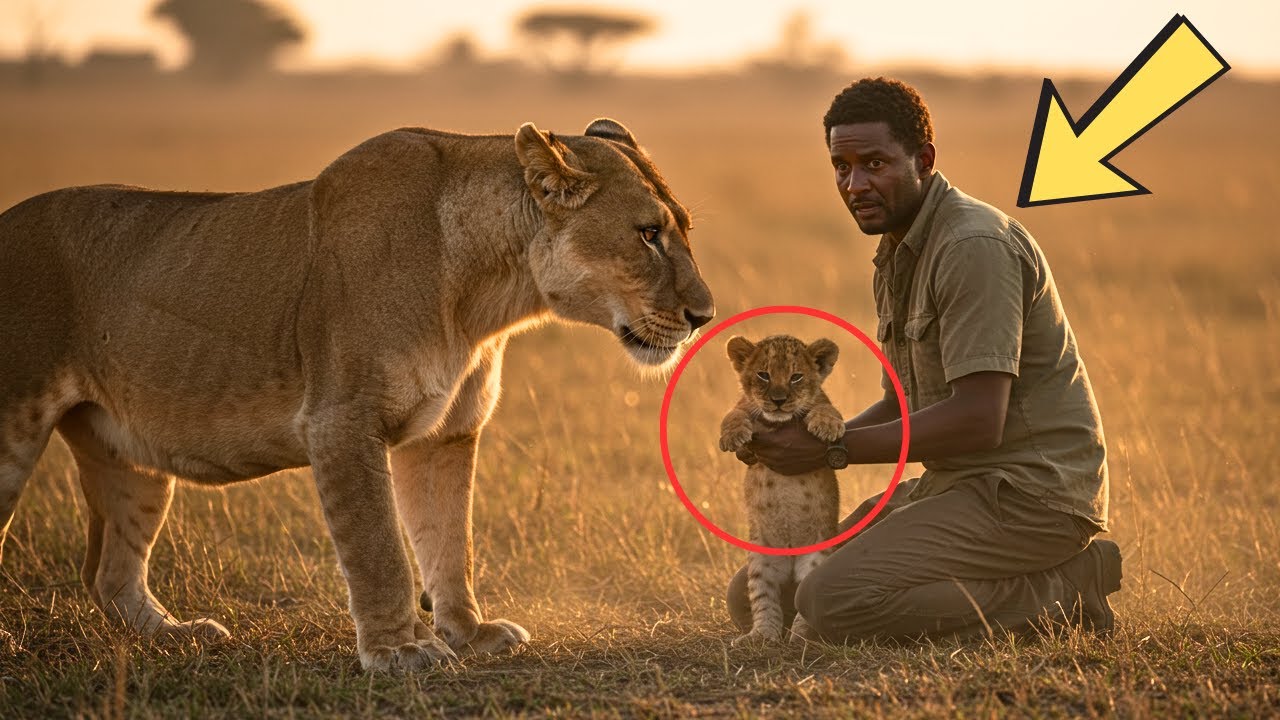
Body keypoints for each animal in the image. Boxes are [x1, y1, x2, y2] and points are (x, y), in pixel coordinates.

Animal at [0, 118, 714, 671]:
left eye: (682, 227)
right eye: (647, 234)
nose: (704, 316)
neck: (485, 299)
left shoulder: (446, 434)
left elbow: (449, 540)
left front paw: (468, 634)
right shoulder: (341, 421)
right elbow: (380, 550)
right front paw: (401, 651)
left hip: (130, 454)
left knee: (108, 575)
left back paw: (179, 636)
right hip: (12, 426)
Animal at [718, 335, 843, 644]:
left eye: (796, 377)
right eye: (763, 374)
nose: (778, 401)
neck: (778, 423)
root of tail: (790, 554)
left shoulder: (821, 402)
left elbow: (826, 407)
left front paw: (828, 426)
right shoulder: (745, 409)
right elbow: (733, 412)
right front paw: (732, 435)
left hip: (815, 560)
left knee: (803, 598)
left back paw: (801, 637)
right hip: (760, 562)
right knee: (764, 600)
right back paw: (761, 636)